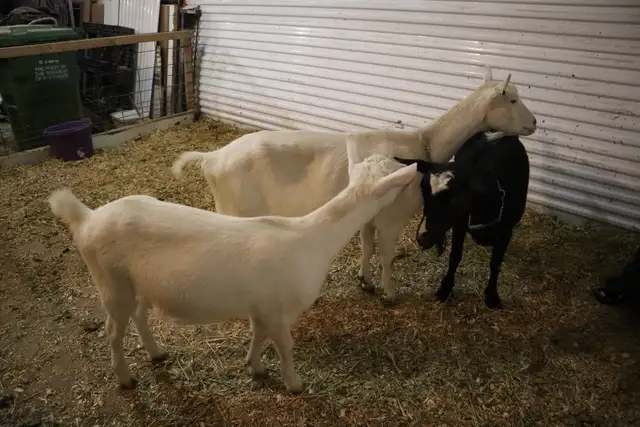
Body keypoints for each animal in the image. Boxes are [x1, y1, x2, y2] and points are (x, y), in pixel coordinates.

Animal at [48, 142, 418, 393]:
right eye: (392, 175)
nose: (414, 171)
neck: (311, 238)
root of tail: (87, 218)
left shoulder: (261, 304)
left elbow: (258, 335)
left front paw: (254, 367)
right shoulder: (278, 307)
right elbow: (284, 346)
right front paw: (294, 384)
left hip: (135, 282)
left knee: (138, 315)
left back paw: (156, 353)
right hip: (110, 282)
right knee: (113, 330)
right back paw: (125, 378)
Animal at [395, 132, 530, 308]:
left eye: (455, 199)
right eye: (423, 192)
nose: (422, 238)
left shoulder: (506, 230)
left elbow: (495, 263)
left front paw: (492, 296)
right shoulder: (460, 225)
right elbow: (455, 256)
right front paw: (445, 289)